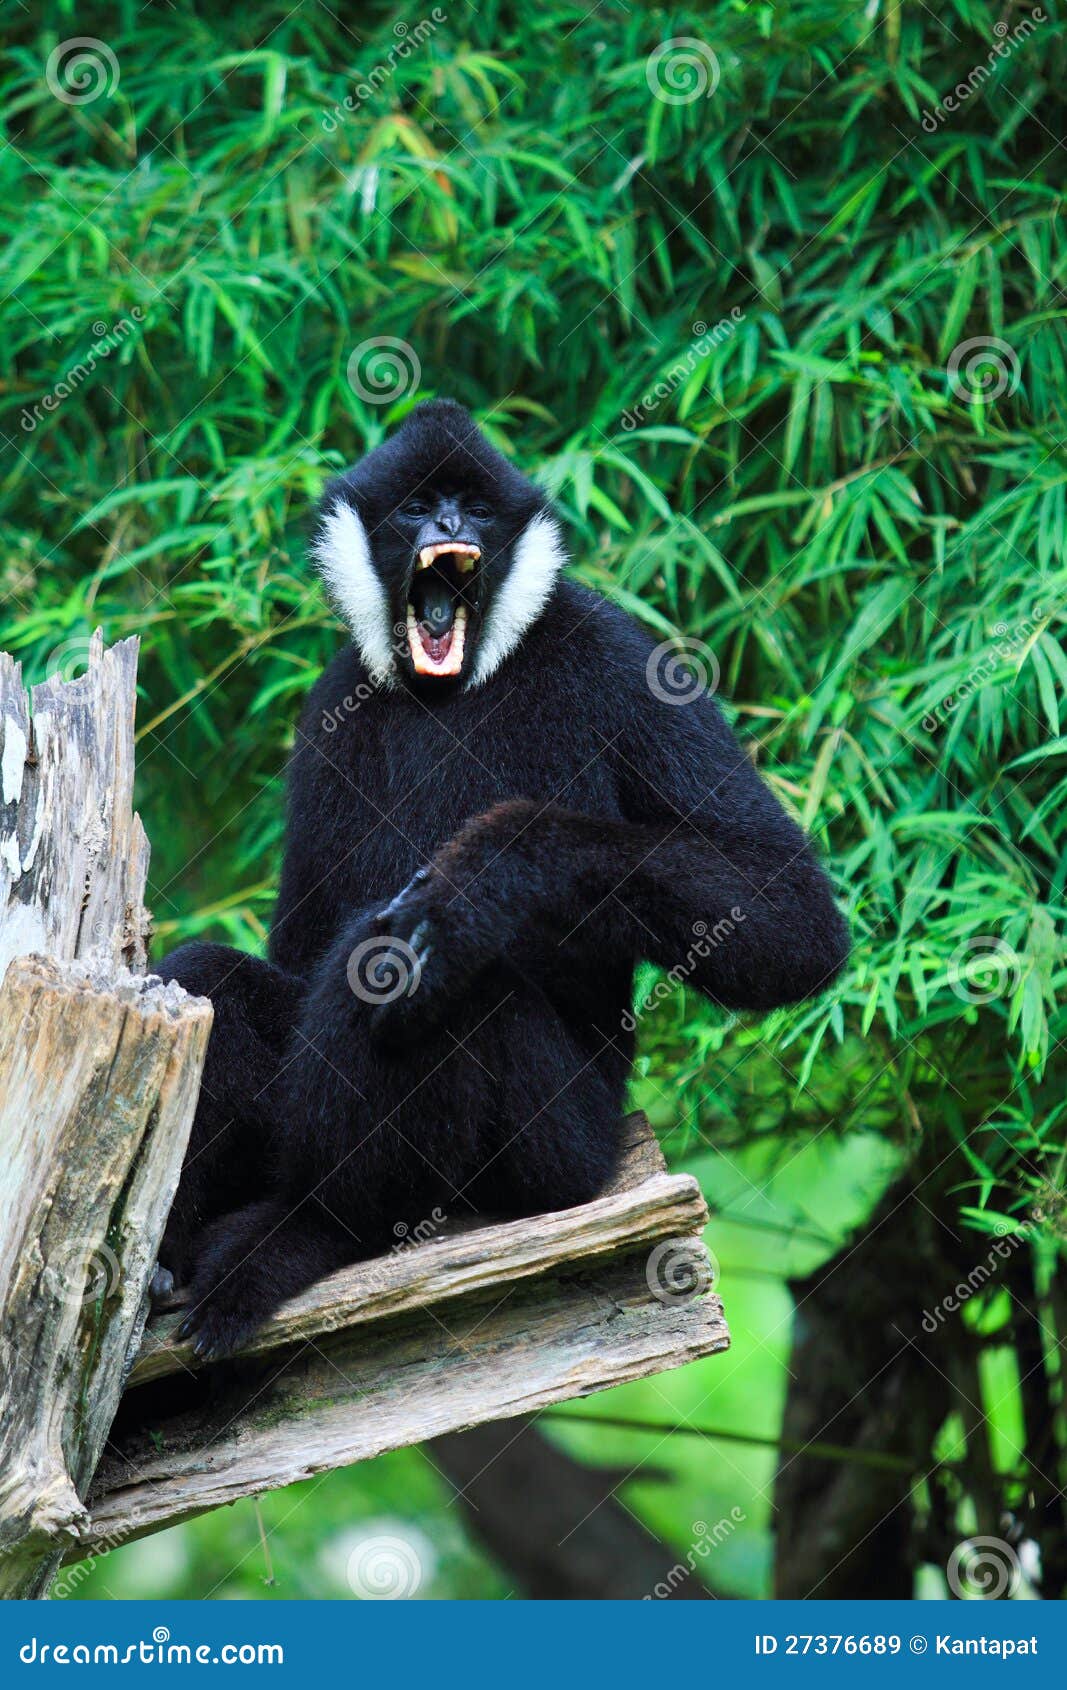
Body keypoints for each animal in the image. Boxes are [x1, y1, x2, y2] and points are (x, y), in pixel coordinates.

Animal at [156, 399, 849, 1359]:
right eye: (417, 507)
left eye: (475, 509)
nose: (447, 526)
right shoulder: (330, 704)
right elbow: (296, 951)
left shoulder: (615, 653)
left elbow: (790, 918)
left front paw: (489, 873)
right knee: (213, 976)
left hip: (560, 1152)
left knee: (437, 974)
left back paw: (317, 1231)